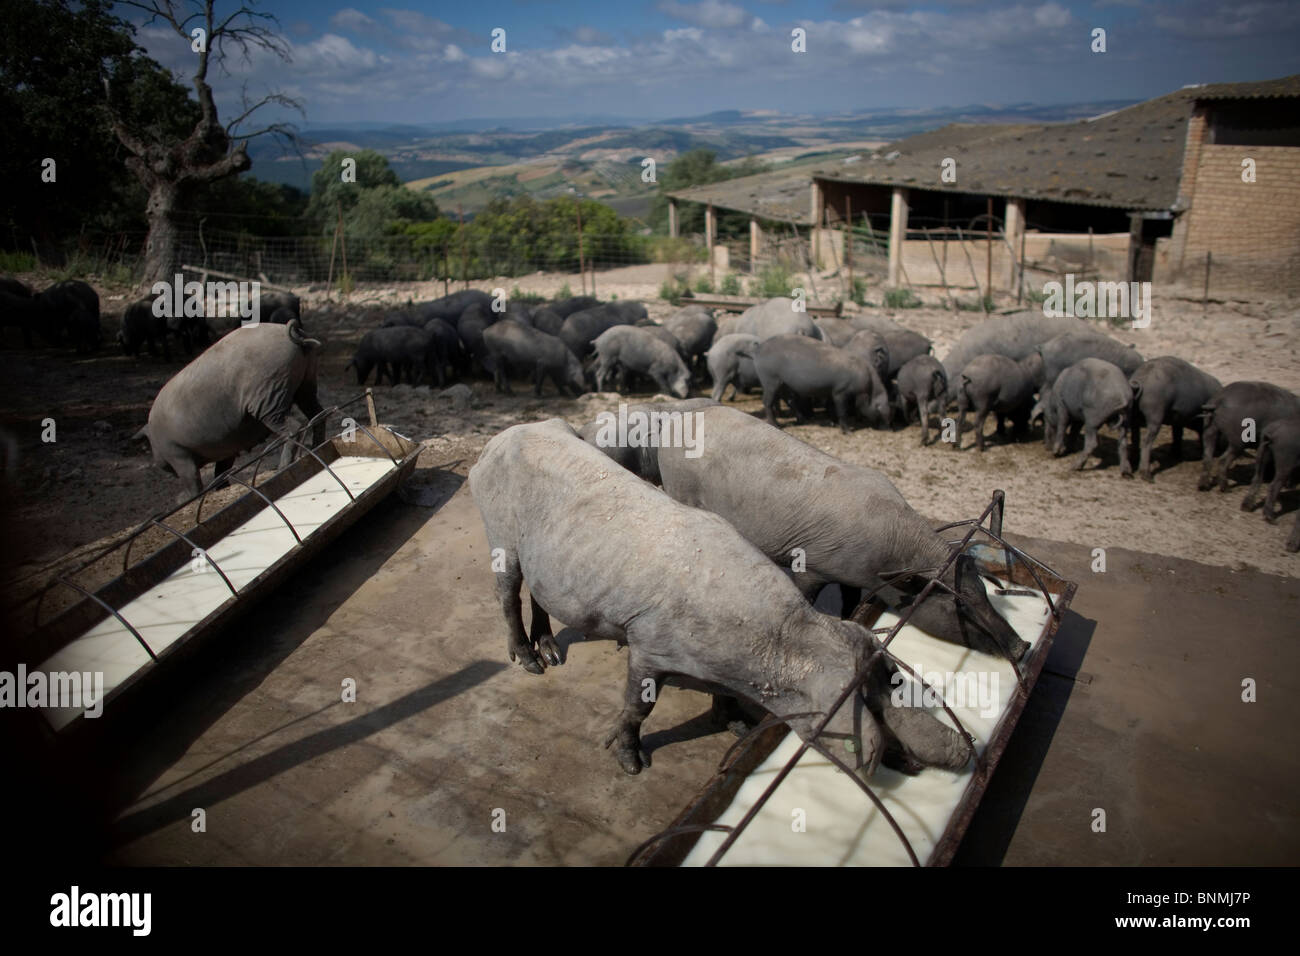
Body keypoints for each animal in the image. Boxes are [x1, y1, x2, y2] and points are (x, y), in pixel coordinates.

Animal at [134, 320, 325, 498]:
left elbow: (193, 480)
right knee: (317, 413)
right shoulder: (227, 443)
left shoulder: (177, 453)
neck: (155, 435)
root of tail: (289, 332)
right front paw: (221, 488)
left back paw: (282, 467)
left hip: (267, 398)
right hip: (306, 381)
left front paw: (182, 500)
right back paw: (317, 445)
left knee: (295, 425)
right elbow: (221, 471)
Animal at [470, 418, 970, 776]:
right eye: (873, 705)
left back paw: (552, 653)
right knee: (507, 595)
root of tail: (496, 441)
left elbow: (719, 697)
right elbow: (638, 705)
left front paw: (735, 725)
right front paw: (631, 764)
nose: (964, 750)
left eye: (893, 680)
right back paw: (531, 663)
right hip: (499, 534)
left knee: (539, 596)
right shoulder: (648, 643)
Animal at [753, 334, 889, 433]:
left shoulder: (831, 391)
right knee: (767, 402)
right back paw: (776, 425)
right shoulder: (840, 391)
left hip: (784, 384)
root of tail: (759, 348)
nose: (888, 429)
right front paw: (847, 432)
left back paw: (801, 421)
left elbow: (831, 407)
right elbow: (842, 411)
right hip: (770, 379)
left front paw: (833, 423)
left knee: (790, 401)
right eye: (878, 406)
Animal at [1240, 417, 1300, 552]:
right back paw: (1270, 518)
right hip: (1285, 462)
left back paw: (1246, 506)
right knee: (1274, 486)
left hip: (1262, 454)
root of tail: (1272, 432)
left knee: (1257, 479)